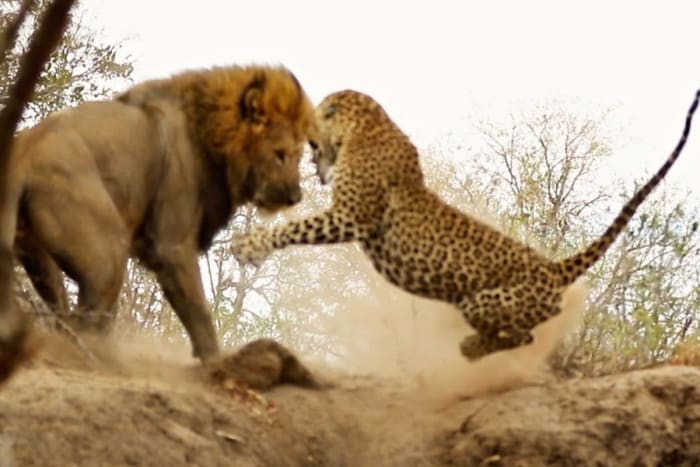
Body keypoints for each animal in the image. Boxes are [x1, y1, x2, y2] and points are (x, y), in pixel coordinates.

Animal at [6, 65, 315, 362]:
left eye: (299, 155)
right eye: (280, 154)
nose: (295, 196)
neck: (211, 135)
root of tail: (22, 155)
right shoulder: (172, 245)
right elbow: (200, 315)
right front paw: (217, 364)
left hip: (35, 253)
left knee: (63, 314)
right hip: (107, 253)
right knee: (88, 319)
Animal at [232, 89, 700, 361]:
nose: (311, 162)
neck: (366, 125)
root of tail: (552, 268)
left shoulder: (350, 217)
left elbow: (294, 228)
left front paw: (248, 246)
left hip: (483, 302)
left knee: (520, 337)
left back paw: (473, 348)